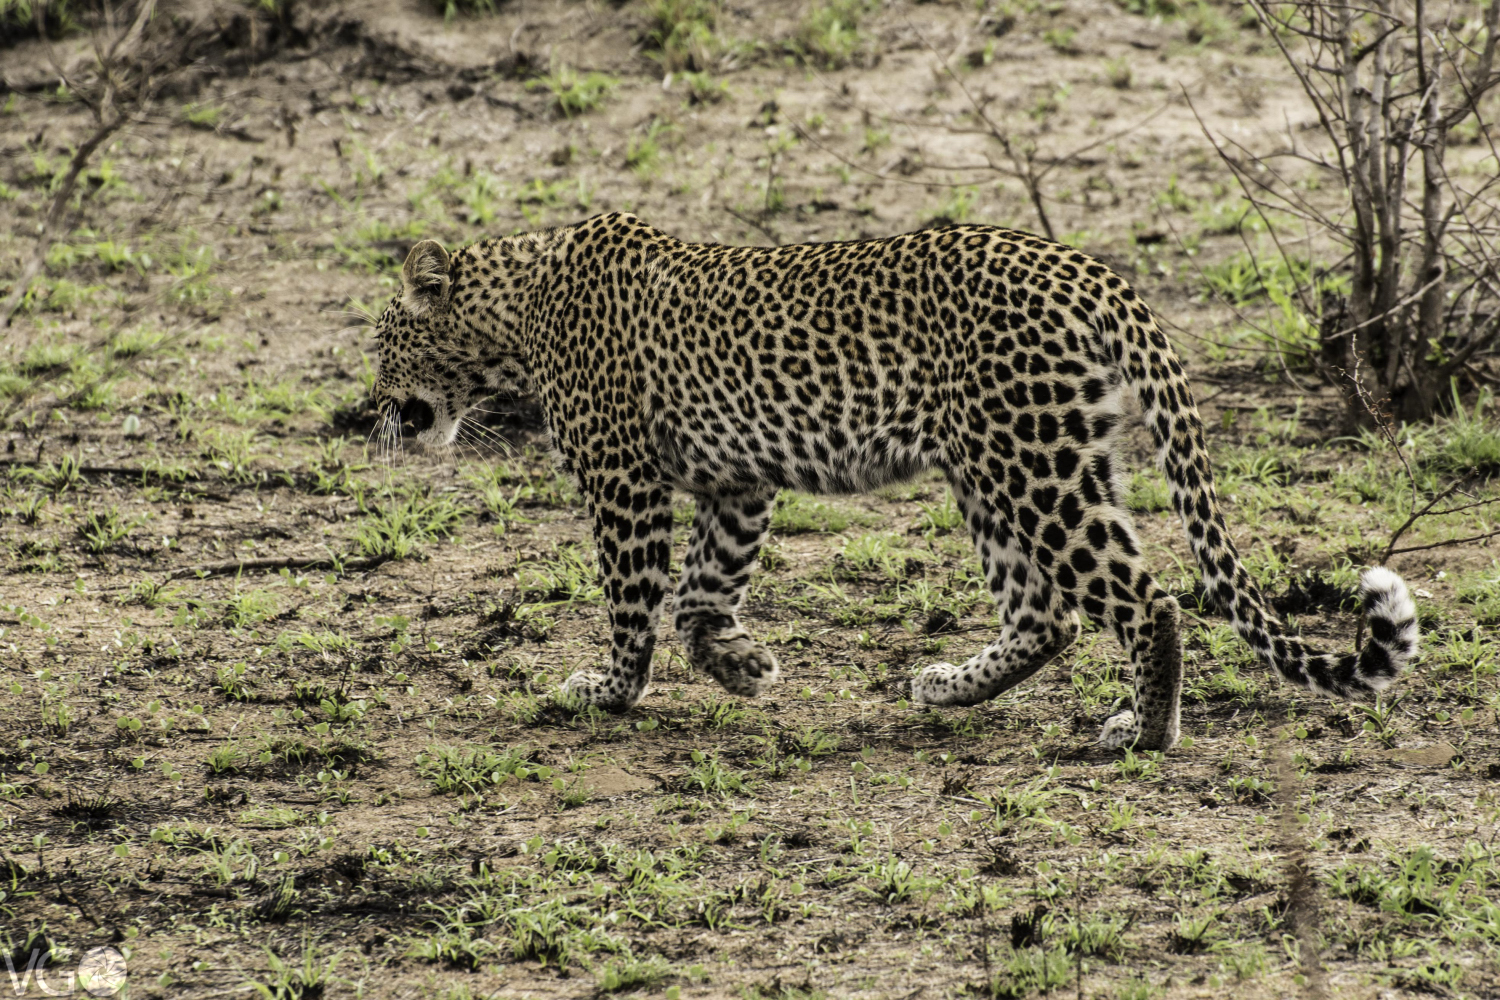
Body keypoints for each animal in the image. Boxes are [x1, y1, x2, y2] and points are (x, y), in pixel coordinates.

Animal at [370, 211, 1419, 751]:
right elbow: (703, 596)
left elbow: (637, 603)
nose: (368, 409)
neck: (515, 312)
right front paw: (743, 666)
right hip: (1013, 462)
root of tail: (1088, 268)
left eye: (381, 343)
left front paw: (610, 690)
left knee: (1139, 597)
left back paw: (1145, 729)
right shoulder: (736, 483)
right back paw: (956, 688)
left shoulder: (622, 479)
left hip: (1026, 463)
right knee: (1049, 610)